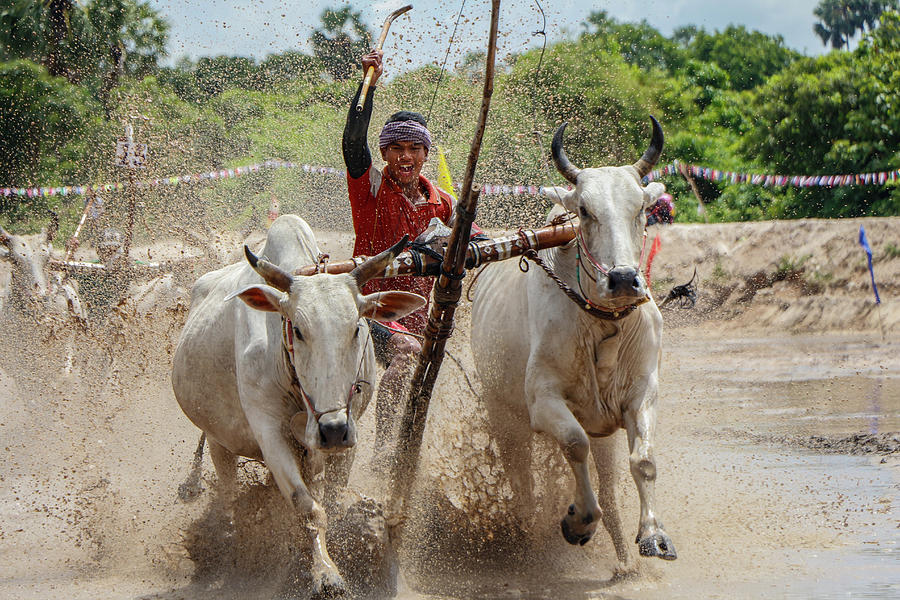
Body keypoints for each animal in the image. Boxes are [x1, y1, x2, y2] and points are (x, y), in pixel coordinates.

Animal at [171, 215, 424, 597]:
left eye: (355, 327)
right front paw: (325, 574)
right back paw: (226, 543)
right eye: (299, 329)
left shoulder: (349, 430)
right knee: (227, 489)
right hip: (218, 439)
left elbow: (329, 502)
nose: (331, 430)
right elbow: (306, 506)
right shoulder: (269, 432)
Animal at [470, 119, 677, 574]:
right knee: (523, 484)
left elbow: (644, 461)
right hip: (505, 417)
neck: (604, 323)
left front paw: (652, 535)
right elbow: (573, 444)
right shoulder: (543, 400)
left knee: (609, 486)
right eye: (583, 210)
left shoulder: (642, 393)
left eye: (640, 208)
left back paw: (623, 562)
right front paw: (579, 522)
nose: (623, 279)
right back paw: (530, 543)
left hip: (604, 430)